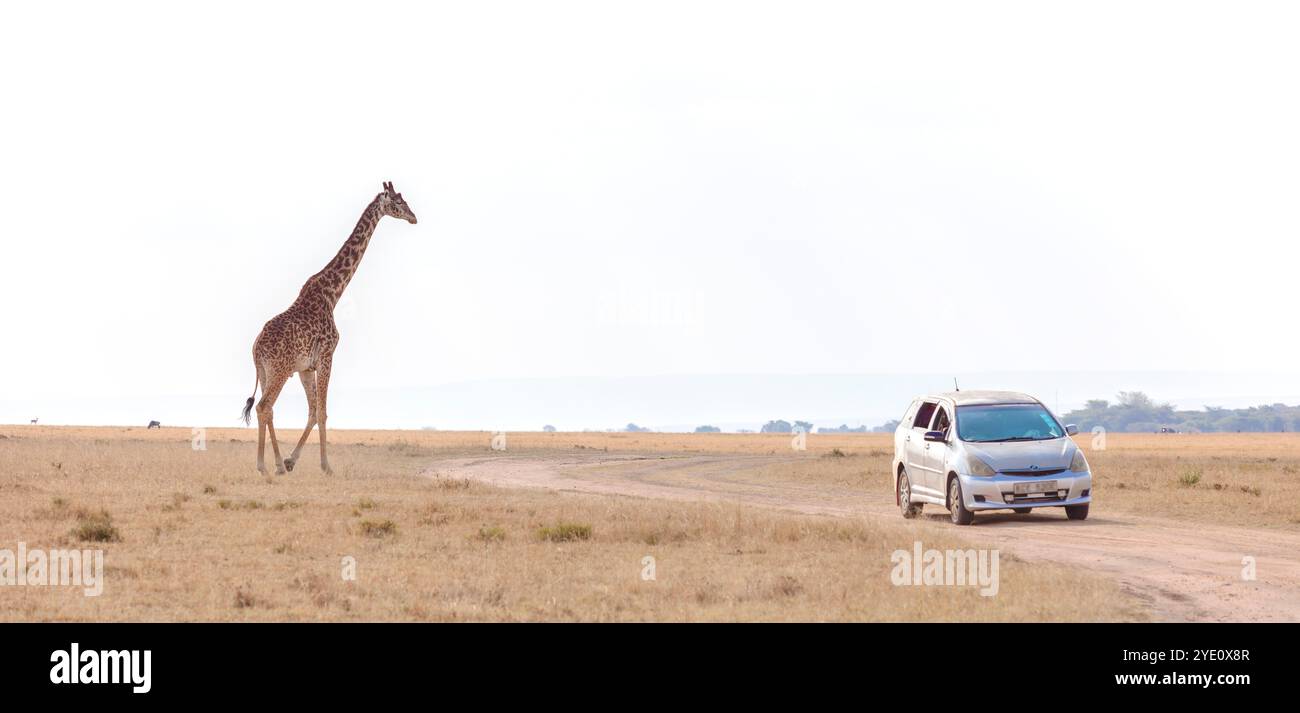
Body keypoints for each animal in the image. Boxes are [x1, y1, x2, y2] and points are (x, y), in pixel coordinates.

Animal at [241, 182, 418, 474]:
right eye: (398, 202)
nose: (414, 217)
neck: (332, 293)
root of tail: (256, 347)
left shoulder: (305, 368)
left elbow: (313, 411)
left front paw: (290, 460)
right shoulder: (326, 356)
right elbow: (322, 412)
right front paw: (326, 466)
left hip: (265, 371)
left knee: (267, 410)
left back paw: (275, 464)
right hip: (279, 370)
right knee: (265, 406)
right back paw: (263, 466)